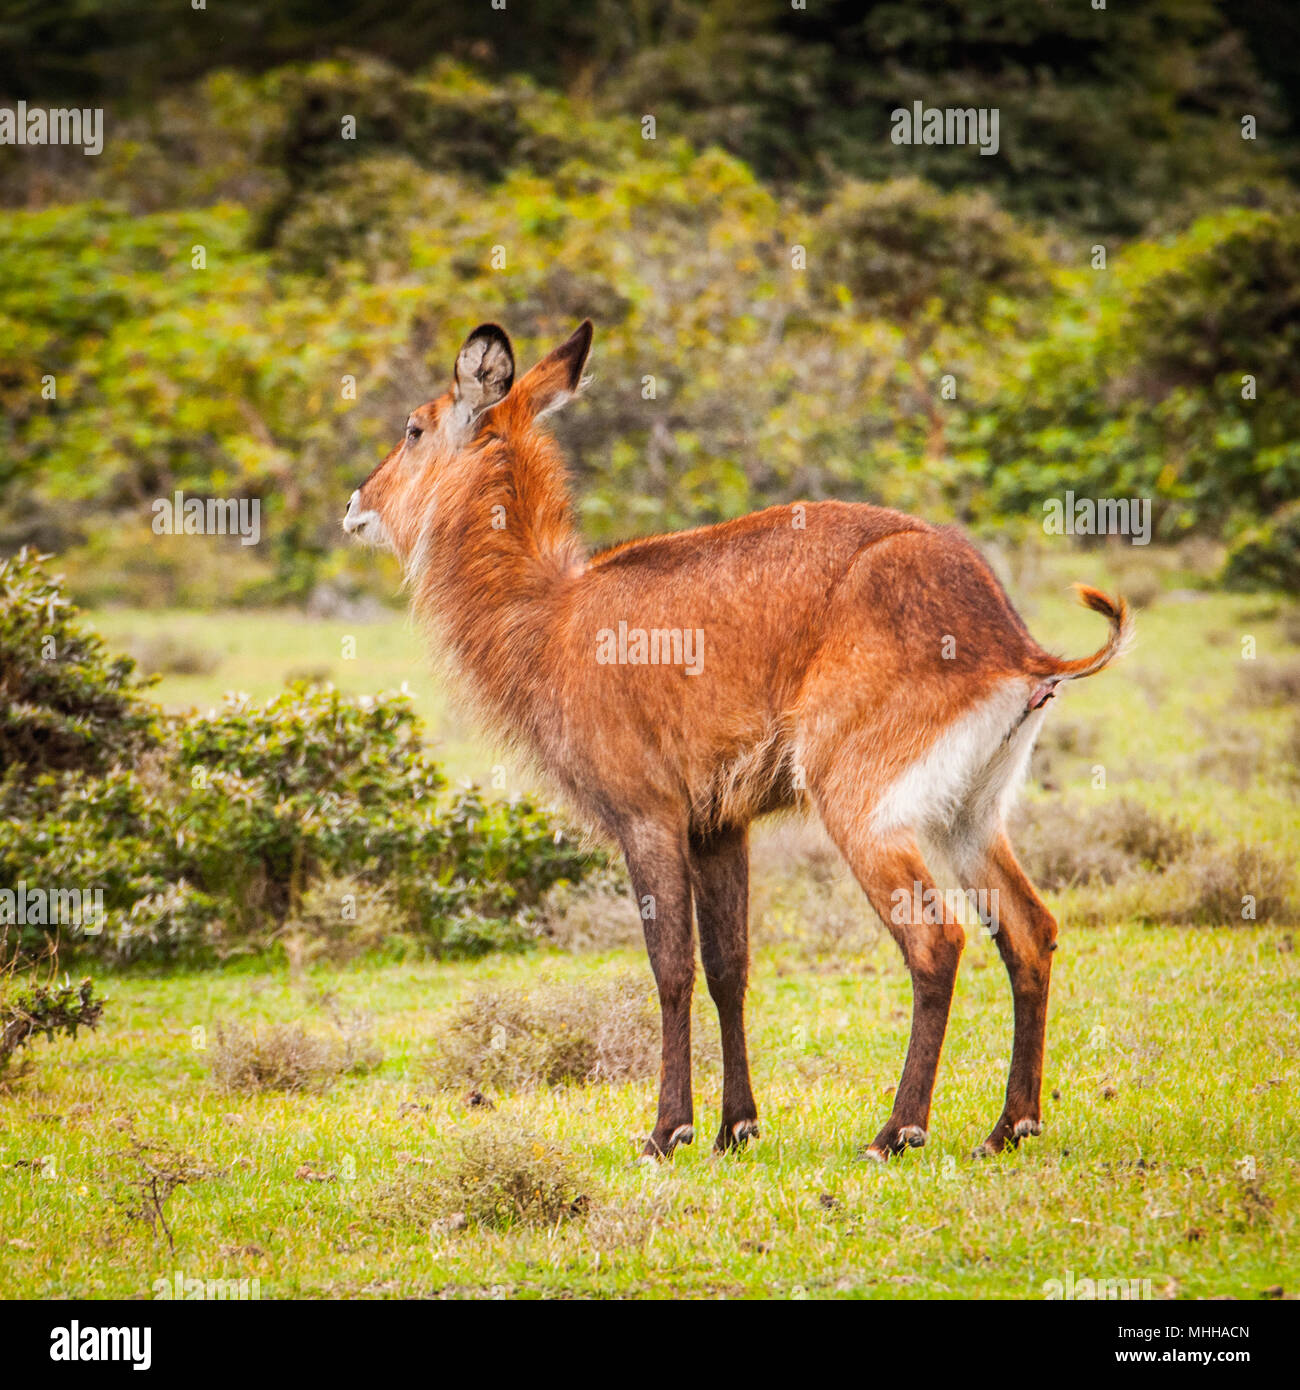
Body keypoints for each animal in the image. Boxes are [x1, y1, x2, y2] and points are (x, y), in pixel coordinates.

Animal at [343, 320, 1132, 1161]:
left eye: (413, 427)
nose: (355, 503)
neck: (551, 615)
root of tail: (1017, 645)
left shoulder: (647, 817)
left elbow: (671, 970)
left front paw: (668, 1130)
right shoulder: (718, 824)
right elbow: (729, 967)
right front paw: (736, 1124)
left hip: (862, 808)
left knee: (937, 938)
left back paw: (897, 1130)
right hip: (968, 814)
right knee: (1030, 929)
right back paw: (1010, 1125)